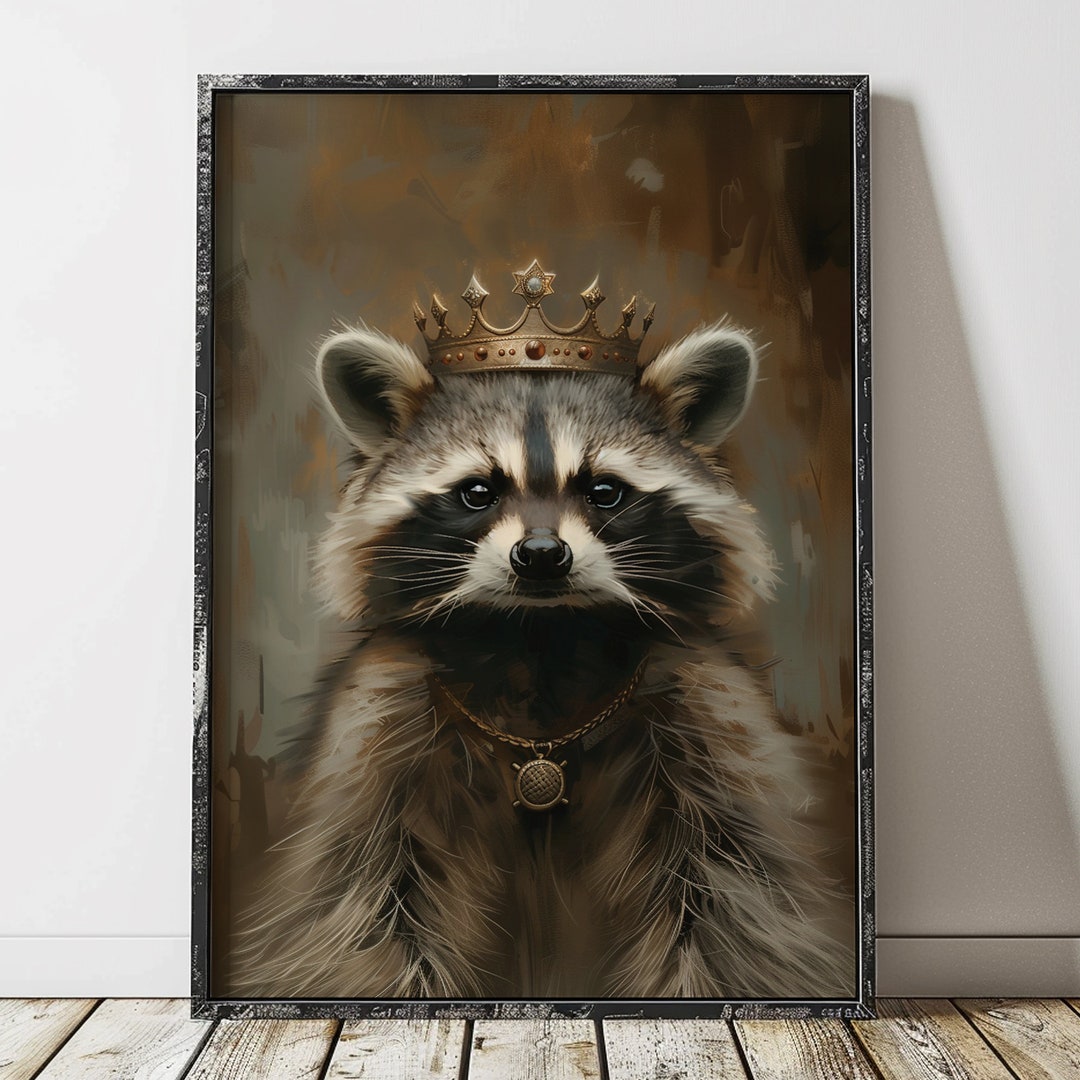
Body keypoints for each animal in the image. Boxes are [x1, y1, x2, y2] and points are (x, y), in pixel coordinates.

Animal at [228, 317, 855, 1000]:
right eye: (477, 492)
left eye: (605, 491)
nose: (541, 555)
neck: (539, 637)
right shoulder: (383, 736)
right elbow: (364, 899)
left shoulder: (704, 725)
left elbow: (733, 897)